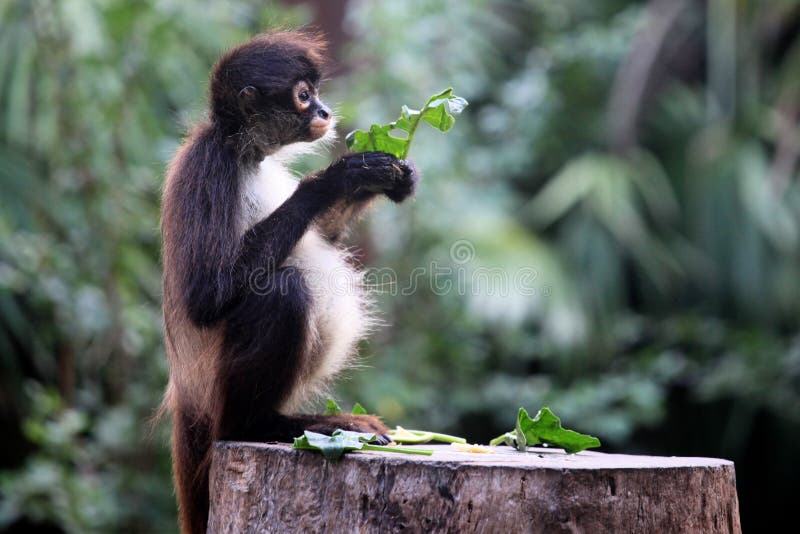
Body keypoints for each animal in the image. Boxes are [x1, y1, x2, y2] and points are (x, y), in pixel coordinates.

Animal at [159, 31, 418, 534]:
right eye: (303, 96)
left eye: (315, 94)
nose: (324, 111)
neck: (242, 151)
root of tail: (185, 392)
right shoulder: (211, 165)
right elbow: (205, 297)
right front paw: (333, 178)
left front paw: (389, 179)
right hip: (214, 384)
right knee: (284, 292)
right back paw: (262, 427)